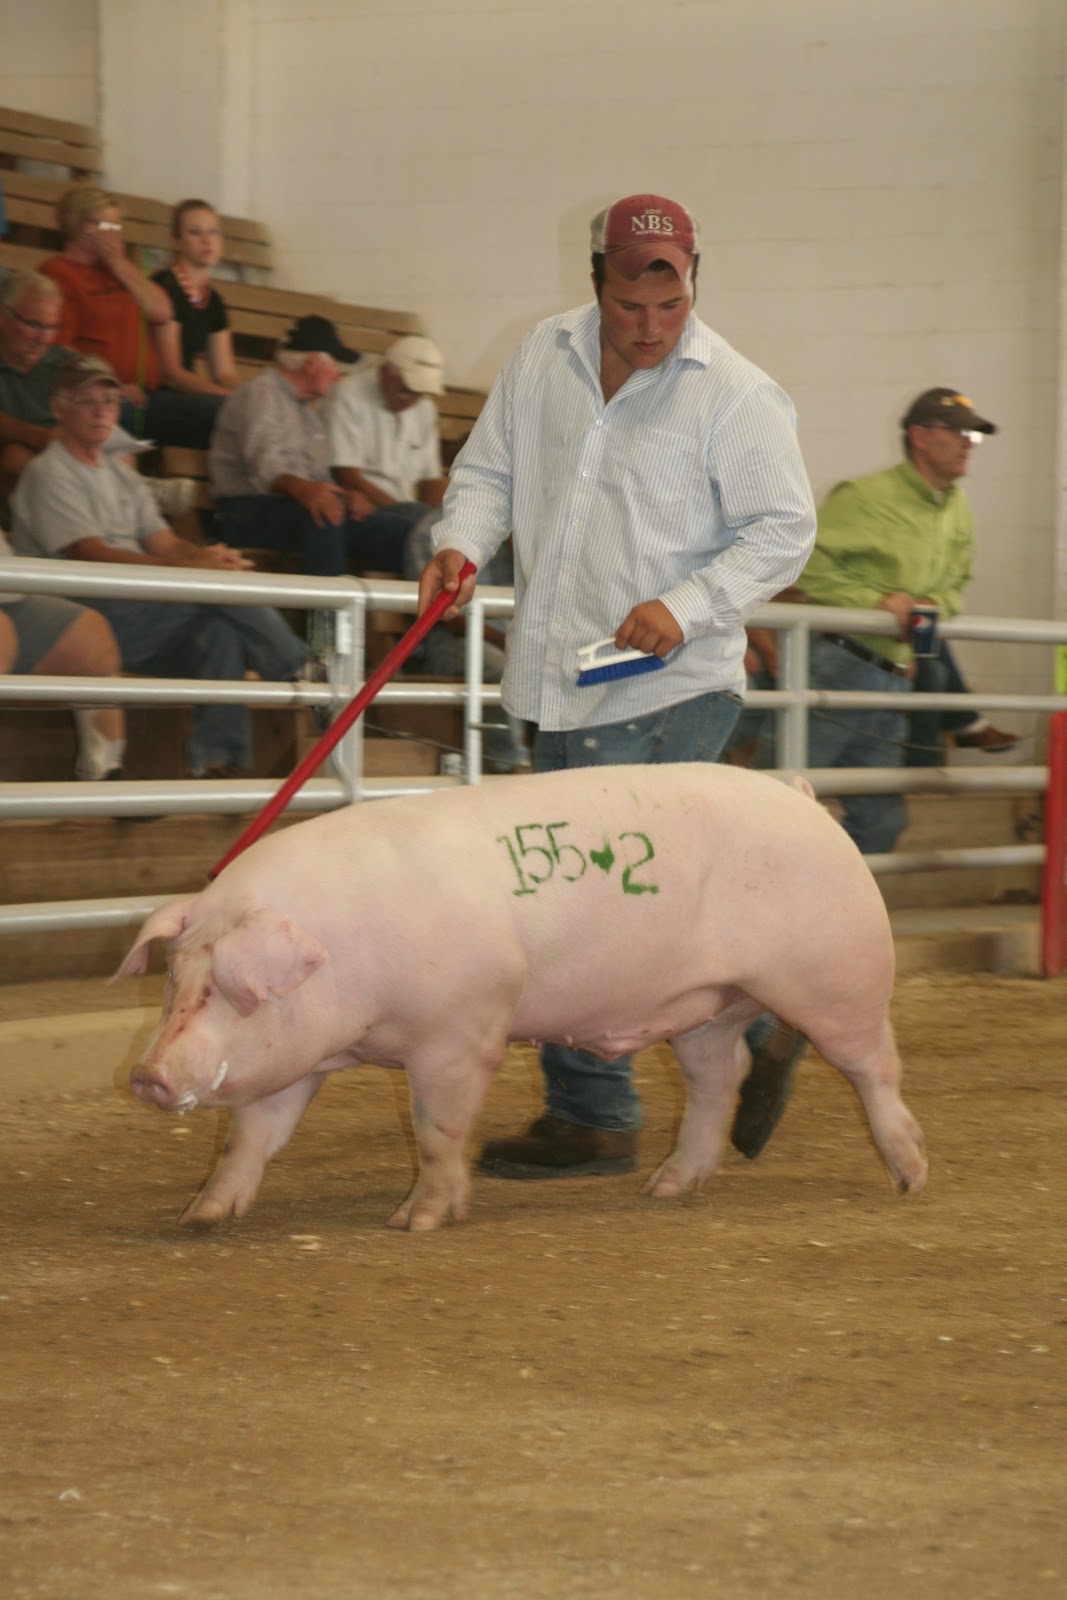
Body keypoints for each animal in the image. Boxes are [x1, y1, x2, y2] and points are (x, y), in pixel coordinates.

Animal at [117, 762, 927, 1231]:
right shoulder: (299, 1058)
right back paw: (666, 1190)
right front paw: (201, 1216)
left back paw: (910, 1176)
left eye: (230, 989)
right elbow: (253, 1136)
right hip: (708, 1003)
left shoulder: (461, 1028)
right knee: (717, 1079)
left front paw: (415, 1221)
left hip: (840, 971)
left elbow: (438, 1128)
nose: (146, 1074)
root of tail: (805, 801)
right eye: (177, 978)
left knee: (874, 1066)